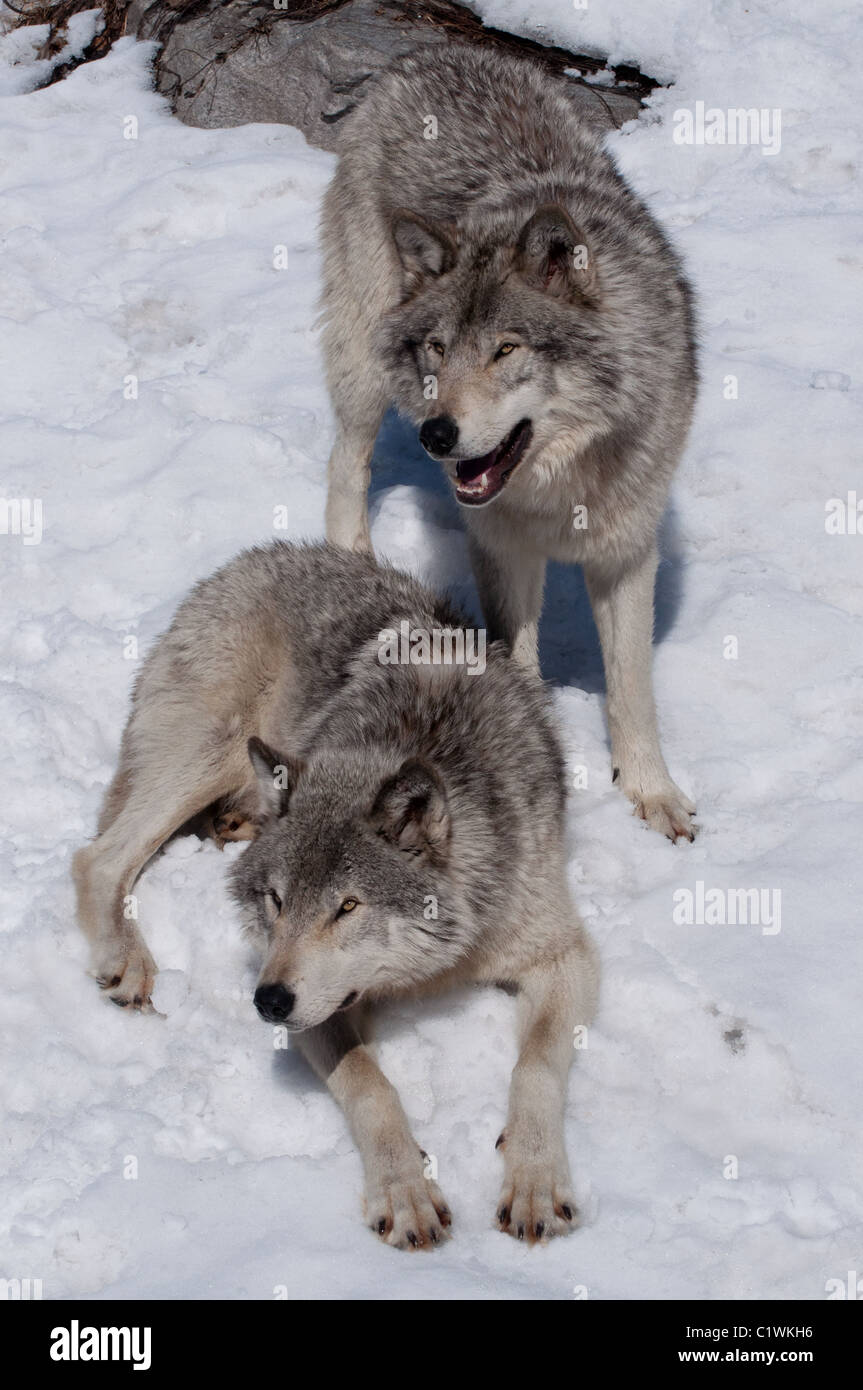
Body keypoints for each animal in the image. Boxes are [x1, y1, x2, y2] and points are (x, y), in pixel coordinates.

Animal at [73, 542, 598, 1248]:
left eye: (347, 906)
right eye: (277, 900)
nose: (266, 1001)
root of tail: (253, 558)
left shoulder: (562, 953)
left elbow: (536, 1064)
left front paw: (536, 1182)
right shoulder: (314, 1005)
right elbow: (369, 1085)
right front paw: (405, 1193)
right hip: (209, 754)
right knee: (99, 856)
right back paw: (126, 961)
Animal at [321, 44, 698, 841]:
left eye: (504, 350)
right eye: (438, 347)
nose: (436, 435)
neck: (560, 485)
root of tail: (428, 51)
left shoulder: (626, 551)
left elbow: (632, 690)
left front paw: (650, 793)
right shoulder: (503, 547)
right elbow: (519, 661)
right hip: (363, 366)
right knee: (347, 459)